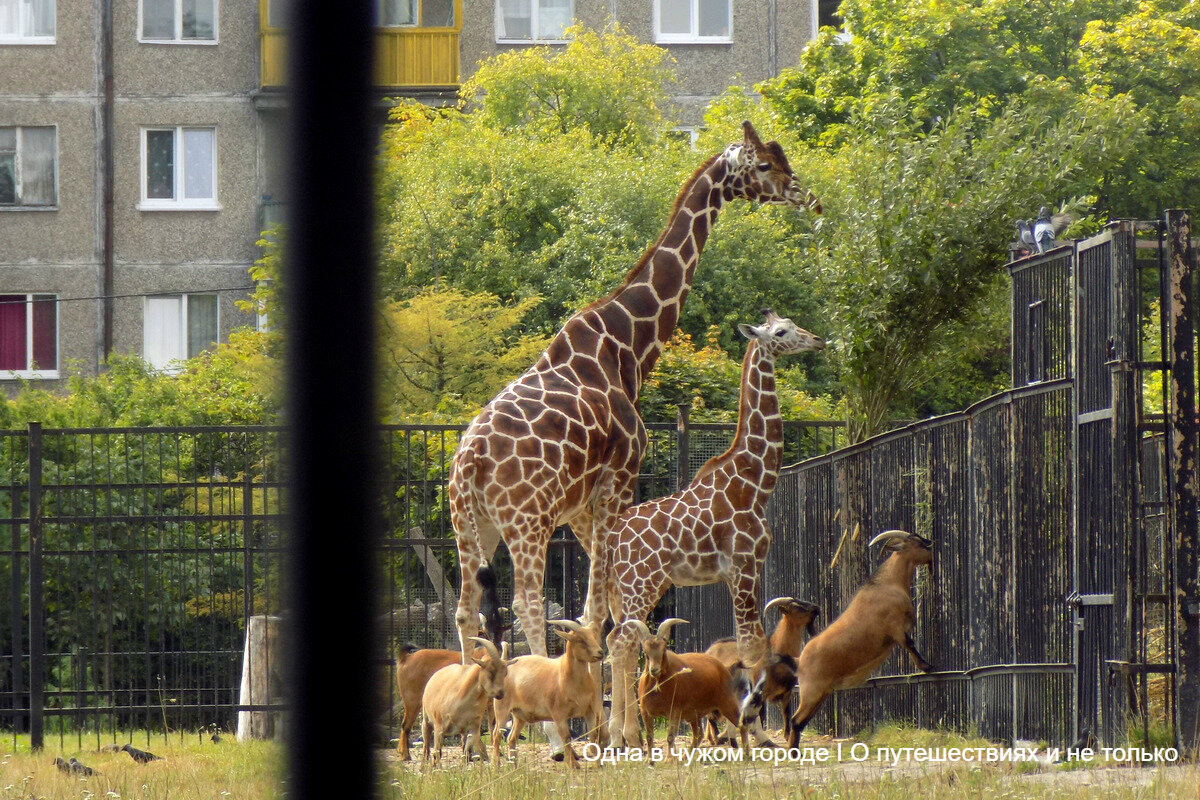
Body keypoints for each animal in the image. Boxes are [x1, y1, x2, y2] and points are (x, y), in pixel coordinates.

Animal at [446, 120, 820, 671]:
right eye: (765, 165)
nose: (806, 196)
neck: (626, 346)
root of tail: (467, 460)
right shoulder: (620, 478)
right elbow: (599, 612)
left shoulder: (585, 504)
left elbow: (603, 613)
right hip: (527, 521)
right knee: (527, 604)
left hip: (473, 526)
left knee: (466, 610)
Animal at [633, 618, 744, 758]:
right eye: (645, 652)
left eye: (664, 650)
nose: (654, 670)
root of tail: (723, 667)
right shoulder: (645, 712)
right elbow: (649, 737)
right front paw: (650, 760)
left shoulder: (674, 710)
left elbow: (670, 736)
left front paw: (669, 759)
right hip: (694, 714)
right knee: (698, 734)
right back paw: (685, 757)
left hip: (727, 703)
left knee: (741, 724)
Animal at [782, 532, 931, 753]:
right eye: (918, 542)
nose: (931, 547)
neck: (888, 584)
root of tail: (800, 660)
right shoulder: (895, 627)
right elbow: (909, 644)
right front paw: (927, 666)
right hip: (811, 690)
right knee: (796, 720)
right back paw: (793, 752)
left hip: (821, 693)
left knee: (800, 721)